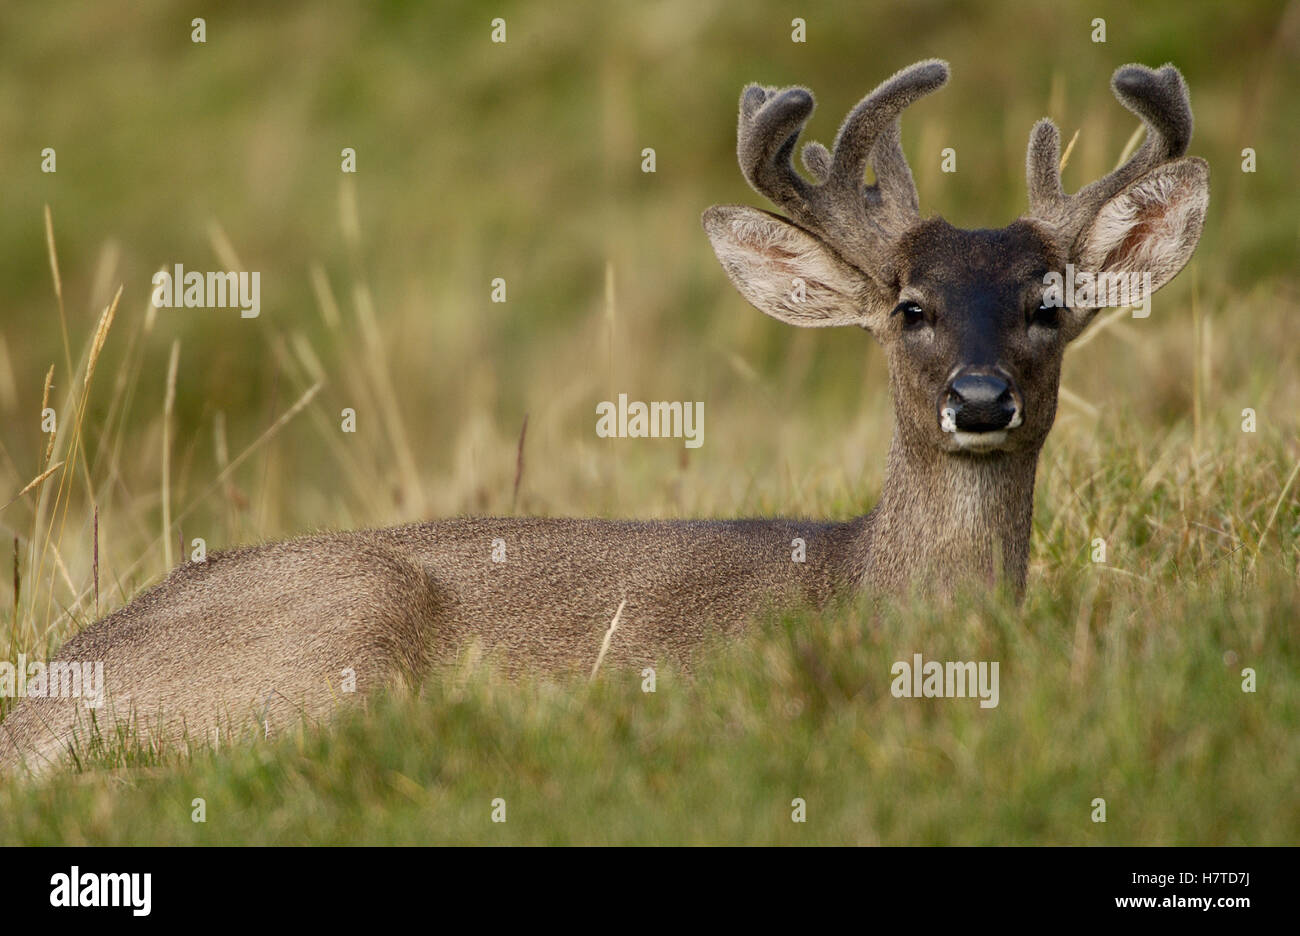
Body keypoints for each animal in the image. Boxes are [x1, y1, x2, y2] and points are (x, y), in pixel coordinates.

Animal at [0, 60, 1207, 777]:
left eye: (1049, 304)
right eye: (911, 307)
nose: (979, 398)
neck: (863, 589)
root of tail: (36, 713)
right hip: (343, 620)